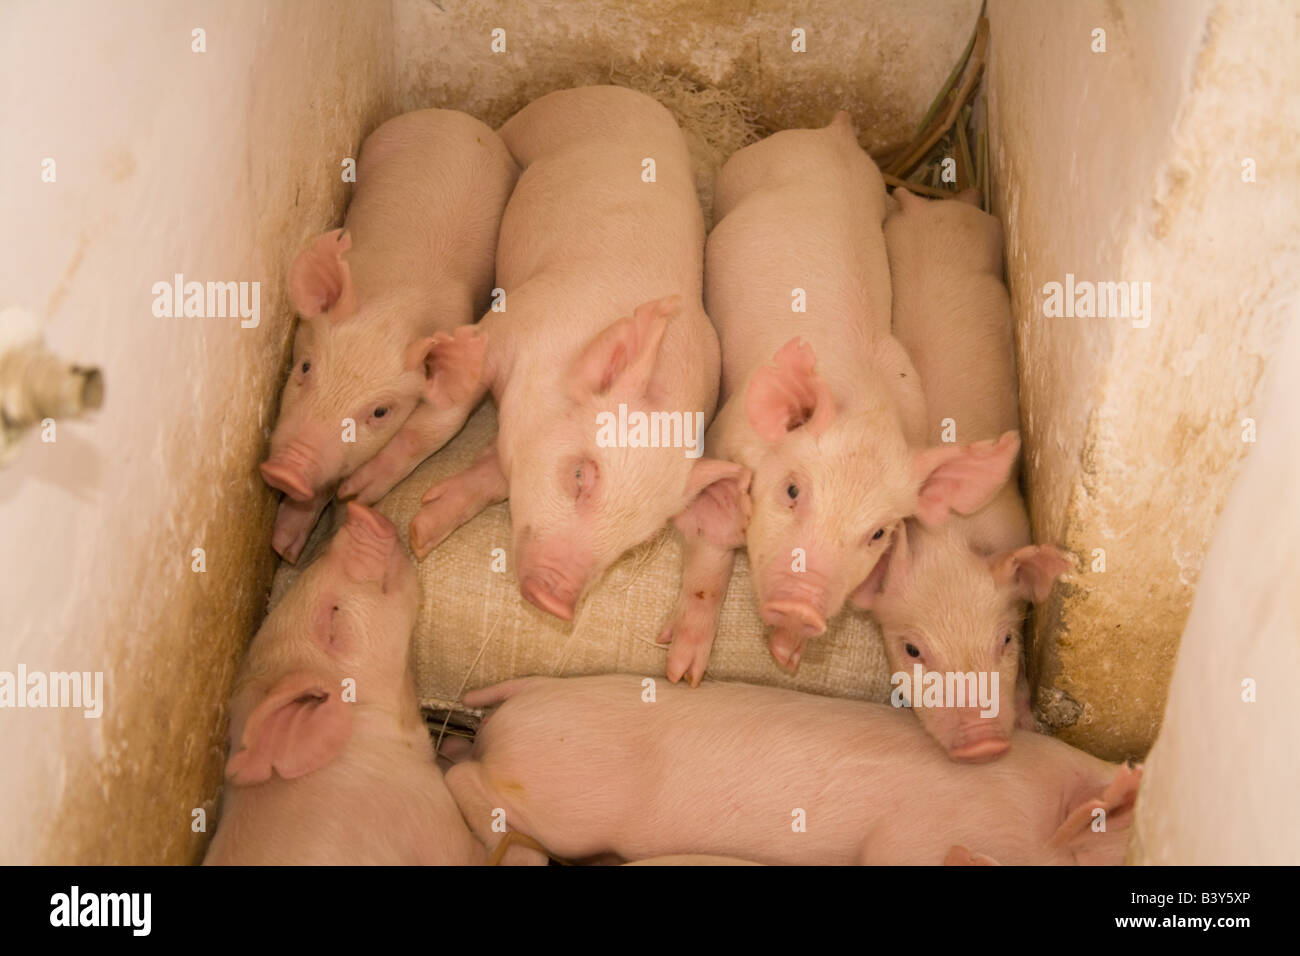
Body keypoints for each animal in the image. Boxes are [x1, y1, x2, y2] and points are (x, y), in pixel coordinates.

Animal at [261, 109, 519, 563]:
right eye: (305, 367)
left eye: (380, 412)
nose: (286, 473)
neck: (395, 303)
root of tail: (452, 114)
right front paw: (286, 545)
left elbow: (431, 428)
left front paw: (354, 493)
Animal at [405, 86, 746, 620]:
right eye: (581, 475)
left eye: (637, 538)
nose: (556, 601)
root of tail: (627, 91)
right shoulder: (509, 324)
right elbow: (443, 416)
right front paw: (362, 495)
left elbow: (497, 474)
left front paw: (422, 528)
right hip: (532, 124)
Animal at [658, 113, 1021, 683]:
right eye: (791, 490)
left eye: (877, 534)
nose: (802, 607)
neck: (866, 405)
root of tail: (837, 130)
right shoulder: (723, 432)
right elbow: (710, 549)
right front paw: (682, 674)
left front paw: (786, 655)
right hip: (742, 174)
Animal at [852, 187, 1071, 761]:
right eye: (912, 650)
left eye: (1006, 641)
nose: (984, 746)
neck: (947, 538)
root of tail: (934, 206)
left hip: (986, 235)